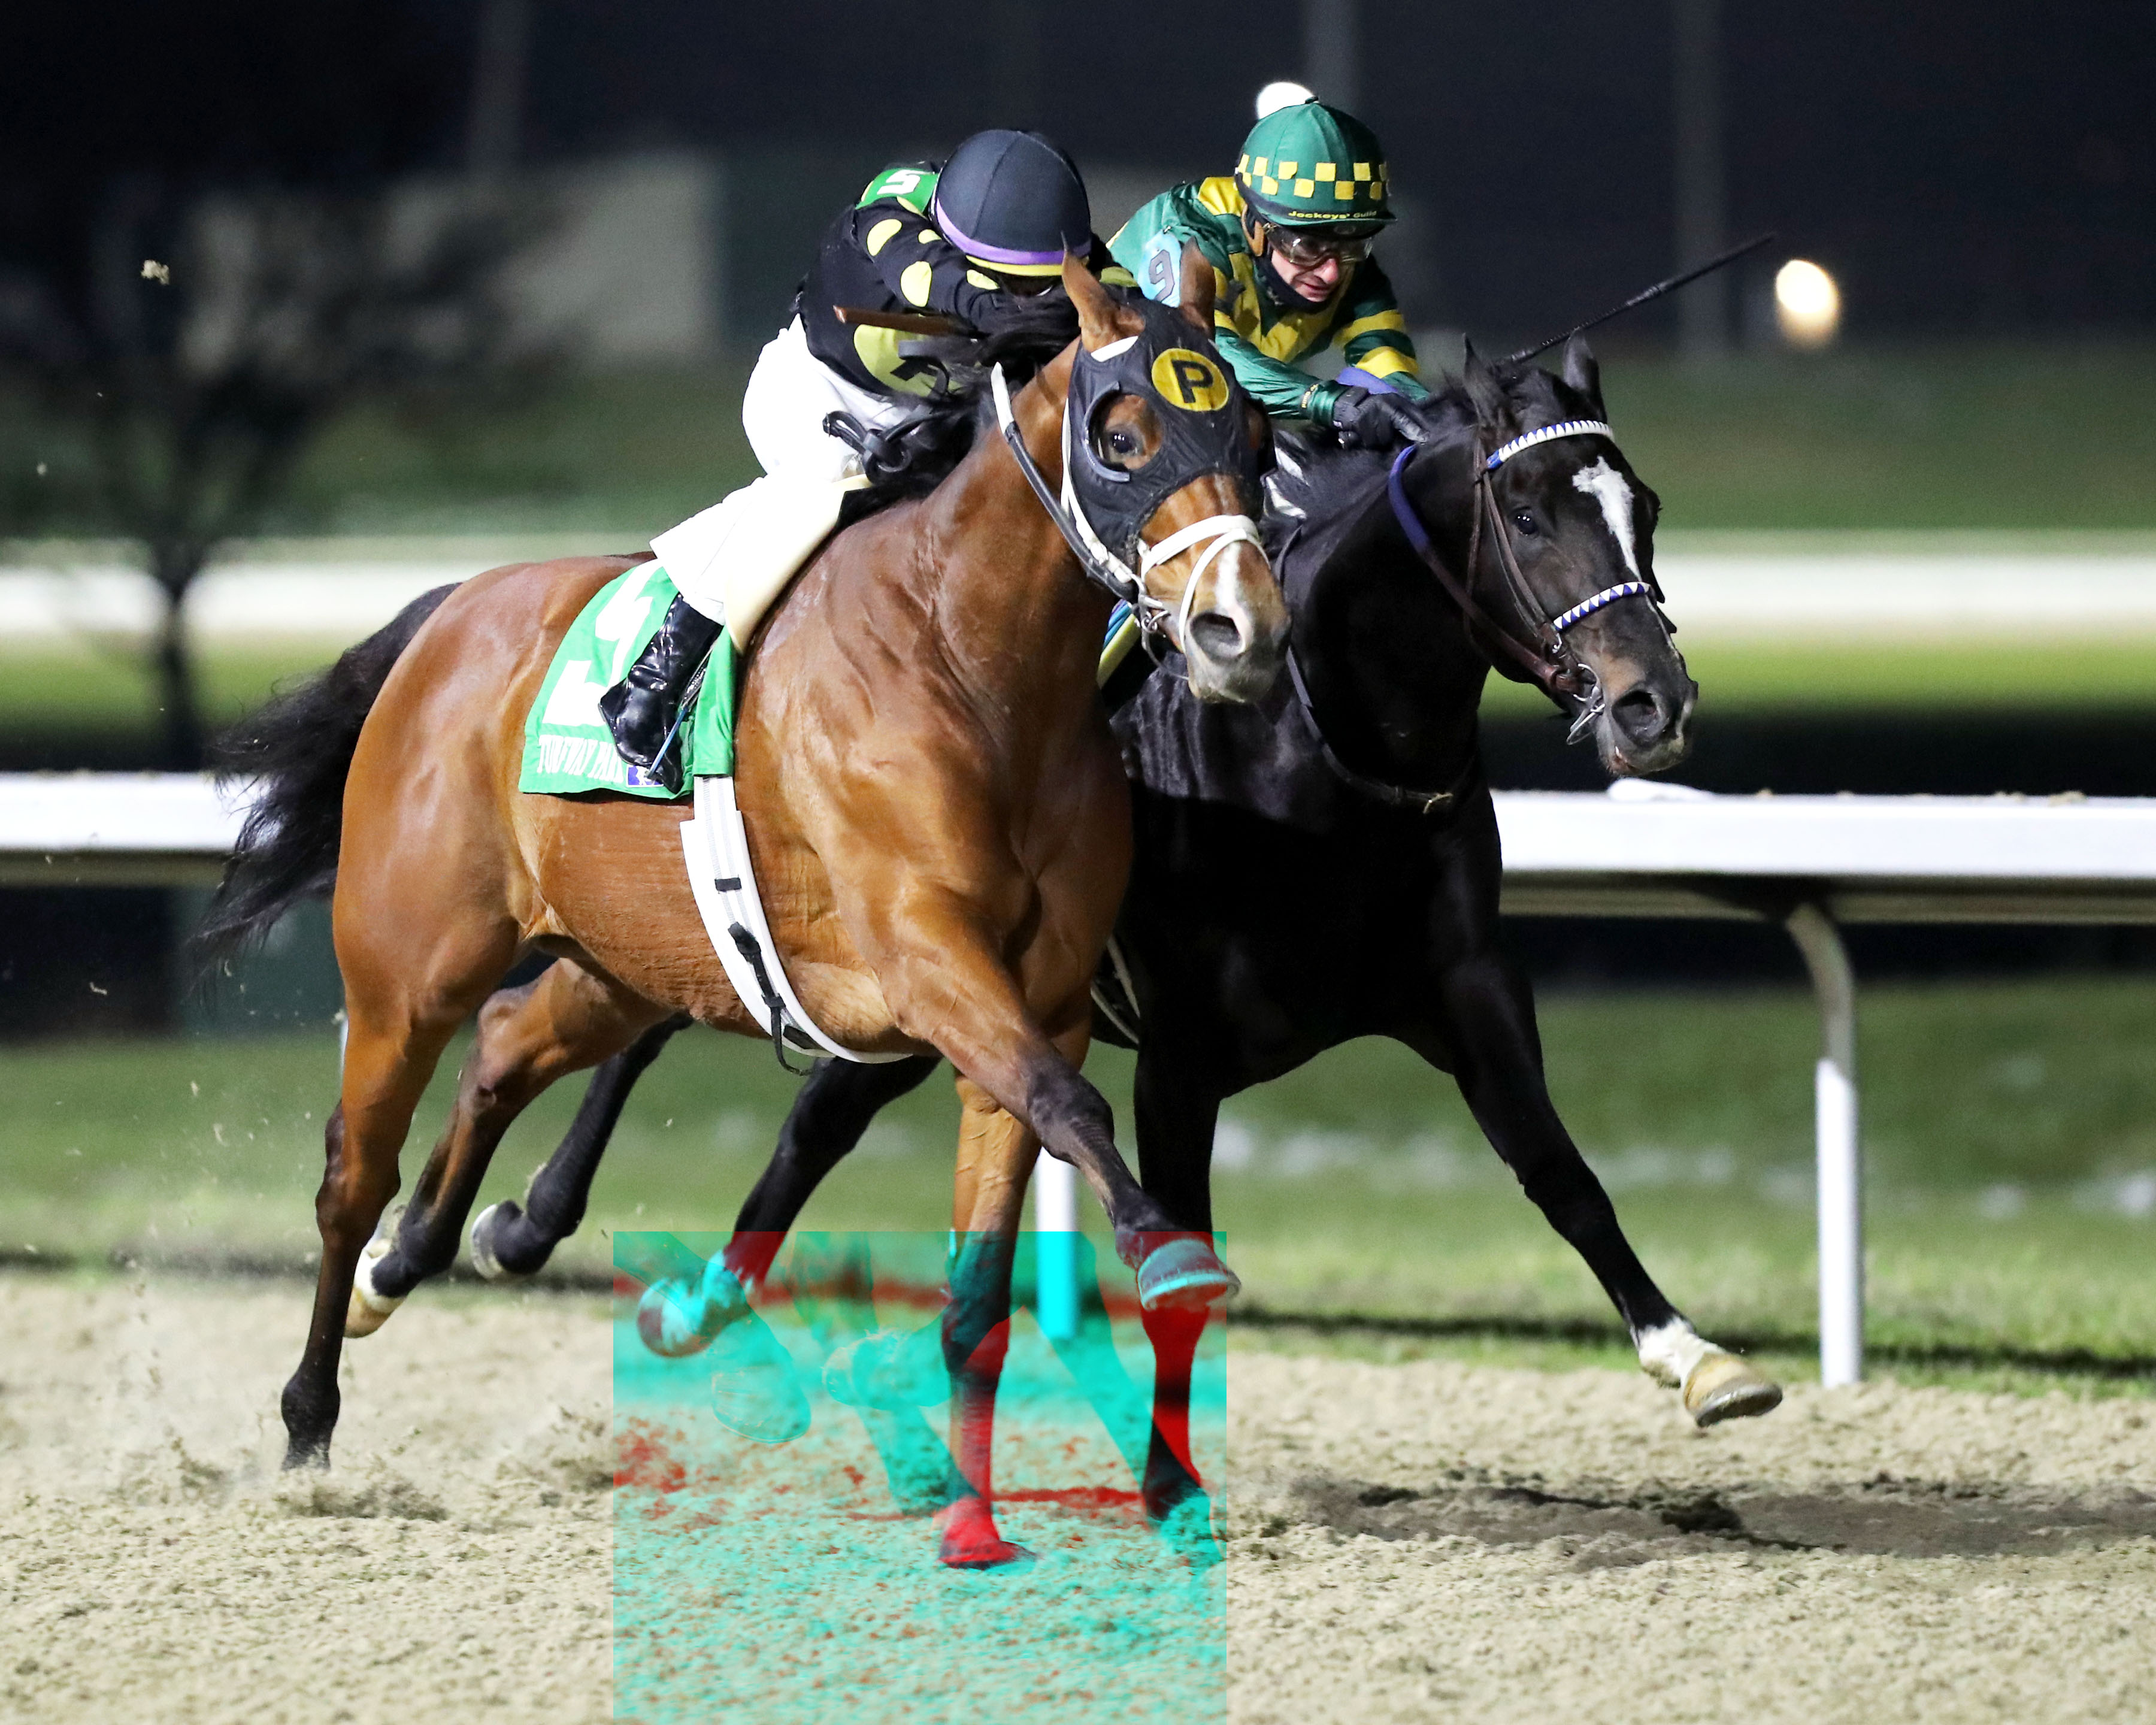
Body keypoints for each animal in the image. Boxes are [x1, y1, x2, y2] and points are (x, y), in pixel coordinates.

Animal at [199, 251, 1291, 1568]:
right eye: (1123, 435)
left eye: (1256, 433)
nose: (1245, 631)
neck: (976, 664)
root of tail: (451, 612)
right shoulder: (929, 959)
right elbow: (1070, 1104)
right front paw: (1166, 1248)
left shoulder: (1041, 998)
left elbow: (987, 1266)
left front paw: (978, 1523)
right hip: (407, 974)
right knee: (351, 1172)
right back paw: (309, 1422)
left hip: (624, 958)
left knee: (506, 1047)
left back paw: (407, 1263)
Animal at [468, 335, 1785, 1540]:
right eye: (1526, 510)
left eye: (1644, 508)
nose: (1651, 704)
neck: (1321, 762)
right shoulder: (1179, 1052)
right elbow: (1178, 1263)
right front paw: (1171, 1486)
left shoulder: (1466, 989)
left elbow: (1563, 1176)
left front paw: (1700, 1358)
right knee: (655, 1029)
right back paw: (532, 1221)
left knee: (808, 1129)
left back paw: (706, 1308)